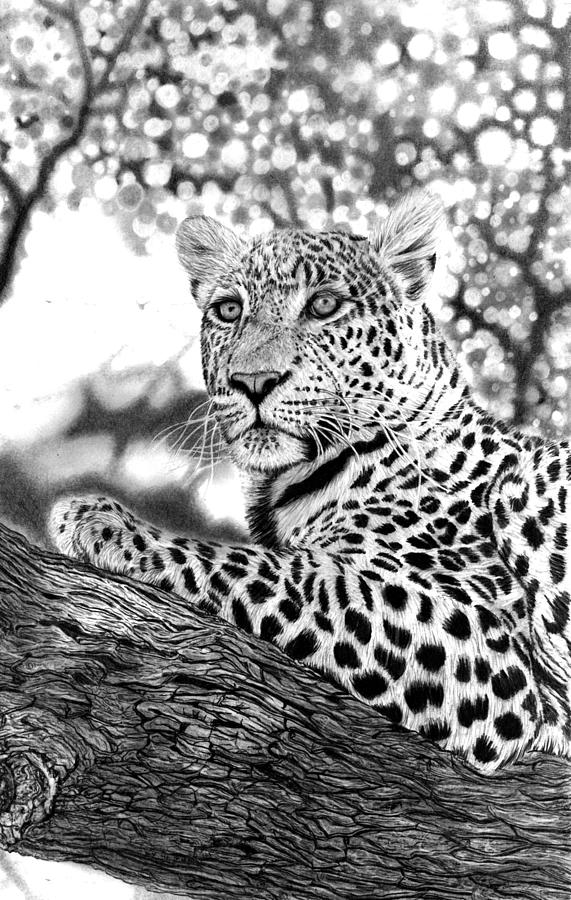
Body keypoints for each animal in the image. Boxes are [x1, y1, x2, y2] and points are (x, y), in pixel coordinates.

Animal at [49, 190, 571, 773]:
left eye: (323, 306)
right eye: (229, 310)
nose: (252, 381)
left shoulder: (489, 649)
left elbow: (282, 570)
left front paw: (103, 522)